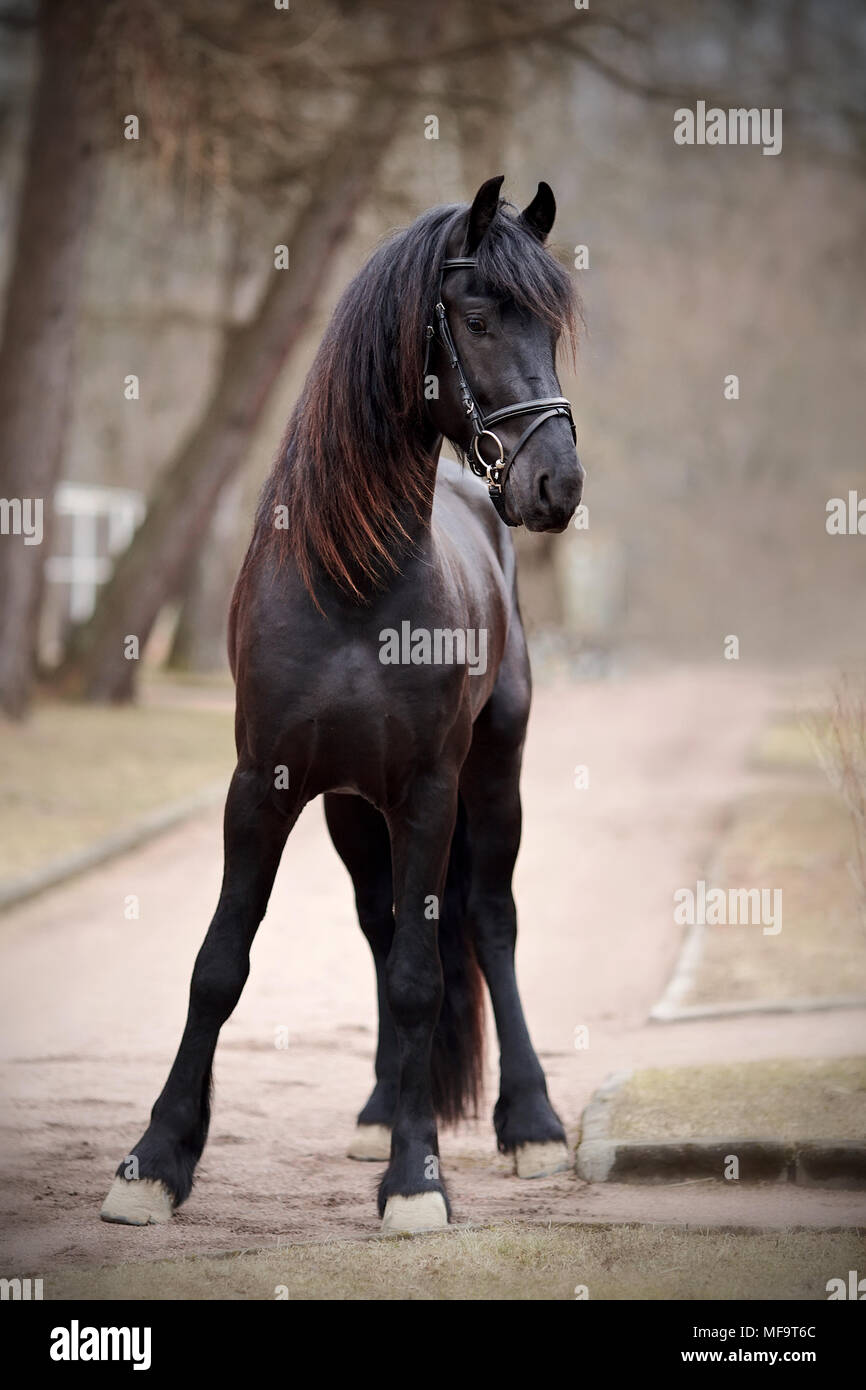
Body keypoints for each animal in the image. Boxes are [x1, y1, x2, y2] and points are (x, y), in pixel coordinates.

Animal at [101, 174, 585, 1234]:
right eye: (478, 316)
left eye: (553, 327)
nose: (557, 483)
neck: (354, 585)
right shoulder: (264, 788)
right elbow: (220, 966)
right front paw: (155, 1163)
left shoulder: (431, 791)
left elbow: (419, 976)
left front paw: (416, 1181)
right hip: (351, 812)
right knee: (379, 922)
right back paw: (376, 1110)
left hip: (495, 772)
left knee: (488, 922)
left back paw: (529, 1123)